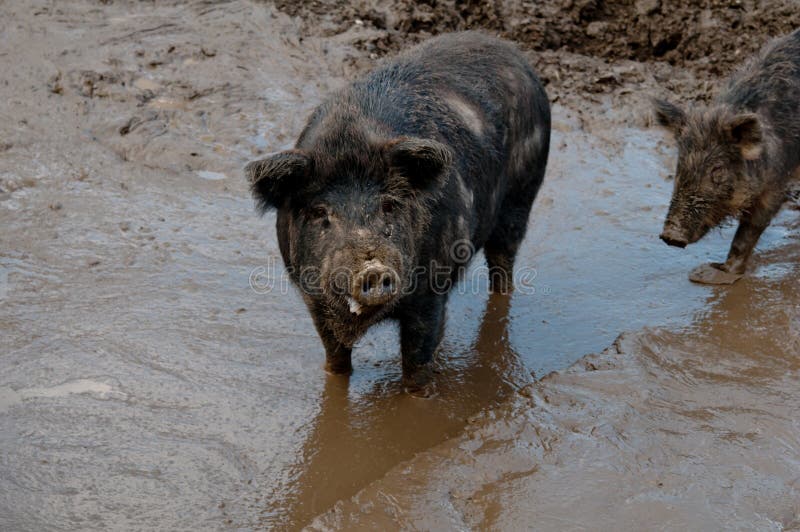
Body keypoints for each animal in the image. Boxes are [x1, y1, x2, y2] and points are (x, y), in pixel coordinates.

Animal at [245, 32, 550, 389]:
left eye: (389, 205)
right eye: (321, 212)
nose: (373, 268)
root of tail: (509, 50)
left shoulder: (429, 291)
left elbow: (417, 358)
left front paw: (416, 395)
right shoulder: (314, 301)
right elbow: (335, 358)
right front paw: (334, 381)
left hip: (522, 194)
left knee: (504, 262)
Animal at [654, 29, 800, 284]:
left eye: (717, 169)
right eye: (680, 164)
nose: (670, 235)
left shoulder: (777, 180)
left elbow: (750, 228)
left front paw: (711, 276)